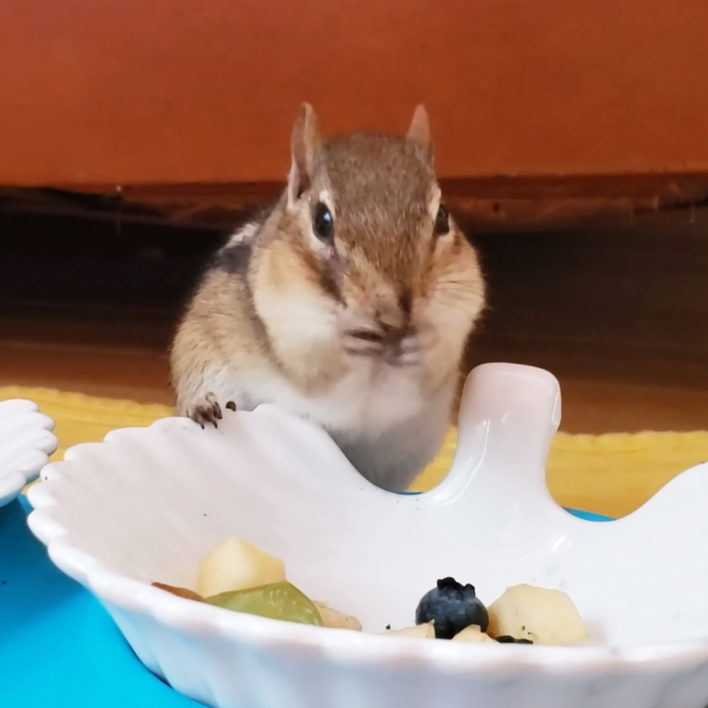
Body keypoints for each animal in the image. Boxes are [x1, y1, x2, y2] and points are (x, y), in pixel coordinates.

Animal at [170, 103, 486, 491]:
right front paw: (349, 341)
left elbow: (437, 356)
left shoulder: (461, 311)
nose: (397, 306)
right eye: (322, 221)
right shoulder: (291, 327)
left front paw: (422, 342)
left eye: (442, 217)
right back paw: (204, 406)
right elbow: (320, 364)